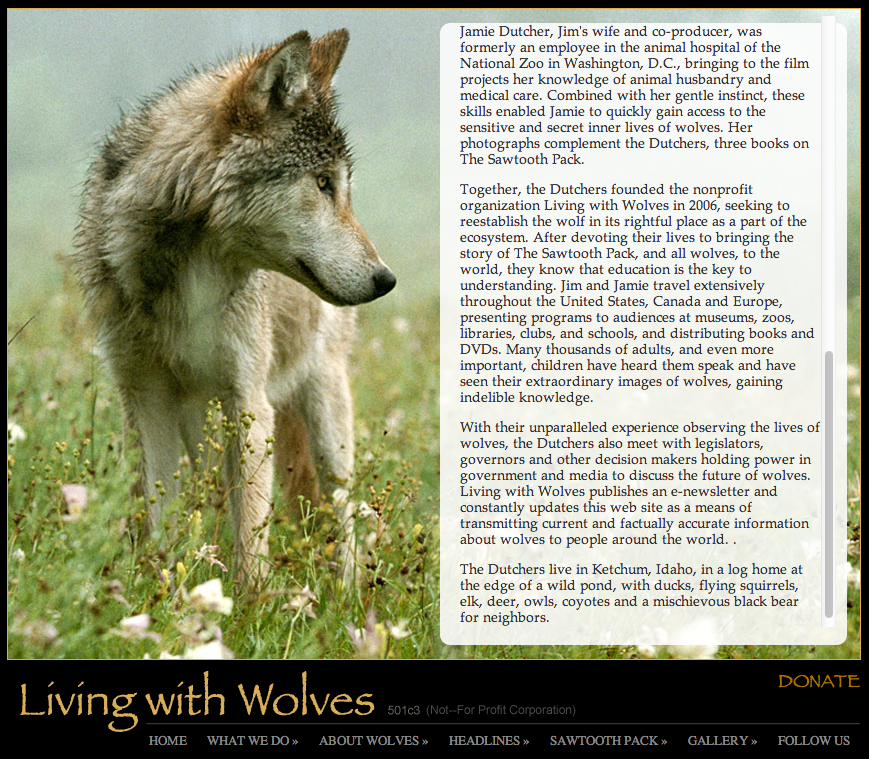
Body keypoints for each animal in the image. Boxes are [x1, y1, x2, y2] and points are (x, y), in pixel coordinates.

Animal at [74, 29, 395, 588]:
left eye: (341, 188)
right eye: (323, 184)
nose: (385, 279)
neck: (186, 276)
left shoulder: (248, 400)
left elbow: (252, 537)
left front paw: (252, 604)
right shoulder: (145, 396)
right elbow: (156, 520)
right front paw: (153, 594)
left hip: (323, 413)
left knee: (341, 509)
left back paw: (347, 592)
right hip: (203, 426)